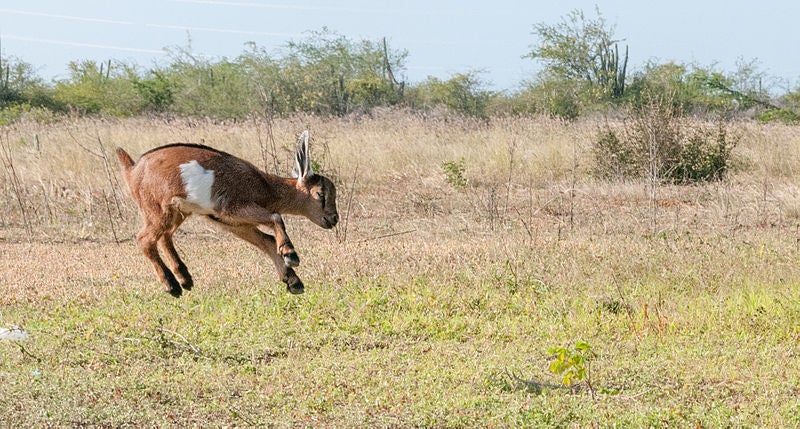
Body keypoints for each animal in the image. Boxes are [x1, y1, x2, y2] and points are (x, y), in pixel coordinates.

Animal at [116, 131, 338, 297]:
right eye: (320, 193)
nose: (333, 219)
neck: (264, 186)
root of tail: (132, 169)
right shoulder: (233, 207)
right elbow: (276, 217)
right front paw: (290, 254)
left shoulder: (233, 223)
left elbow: (266, 240)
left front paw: (293, 281)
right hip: (156, 210)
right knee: (145, 239)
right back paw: (171, 285)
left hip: (177, 212)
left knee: (165, 236)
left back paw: (184, 278)